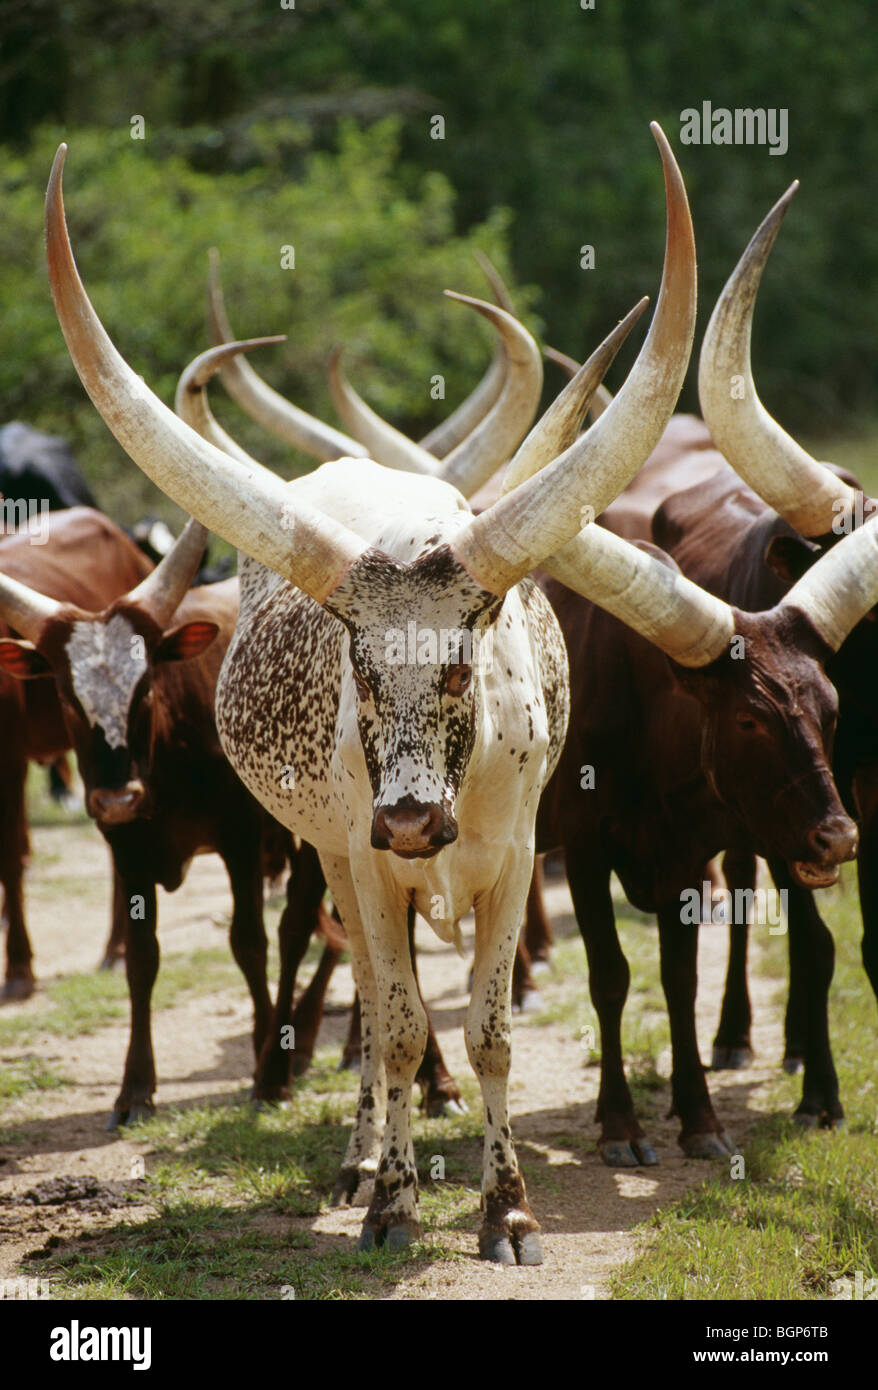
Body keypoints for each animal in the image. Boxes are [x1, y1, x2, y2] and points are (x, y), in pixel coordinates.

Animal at [44, 121, 698, 1261]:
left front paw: (506, 1207)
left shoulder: (516, 860)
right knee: (361, 985)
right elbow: (393, 1026)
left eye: (461, 663)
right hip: (332, 854)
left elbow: (488, 1034)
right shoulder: (362, 859)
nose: (408, 820)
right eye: (353, 662)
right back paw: (356, 1159)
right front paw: (391, 1198)